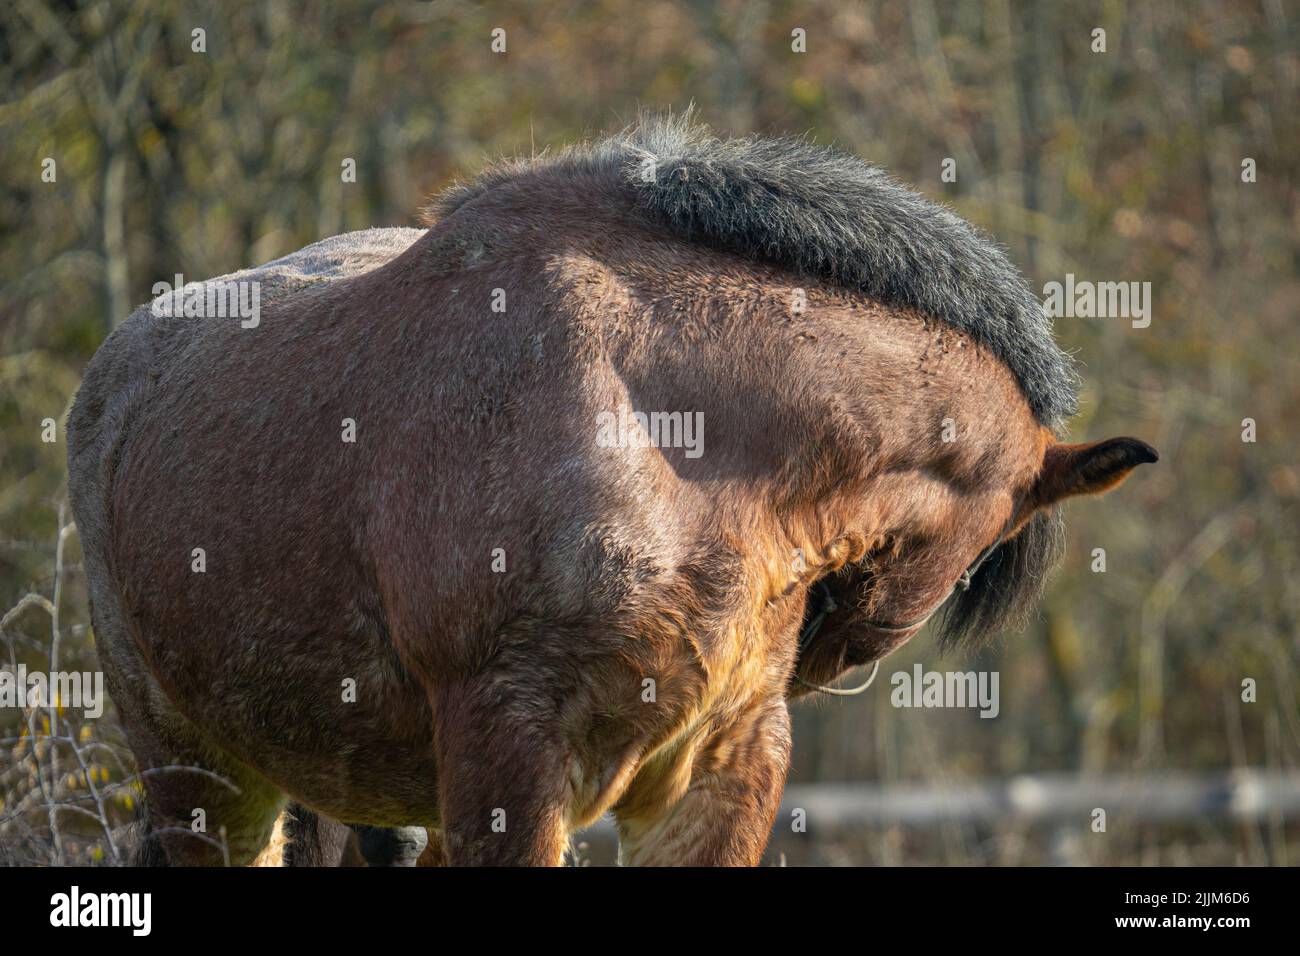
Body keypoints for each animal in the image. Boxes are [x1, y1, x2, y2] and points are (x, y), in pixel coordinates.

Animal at [66, 117, 1156, 866]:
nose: (827, 651)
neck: (677, 441)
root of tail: (113, 373)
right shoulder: (511, 757)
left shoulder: (720, 769)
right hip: (204, 775)